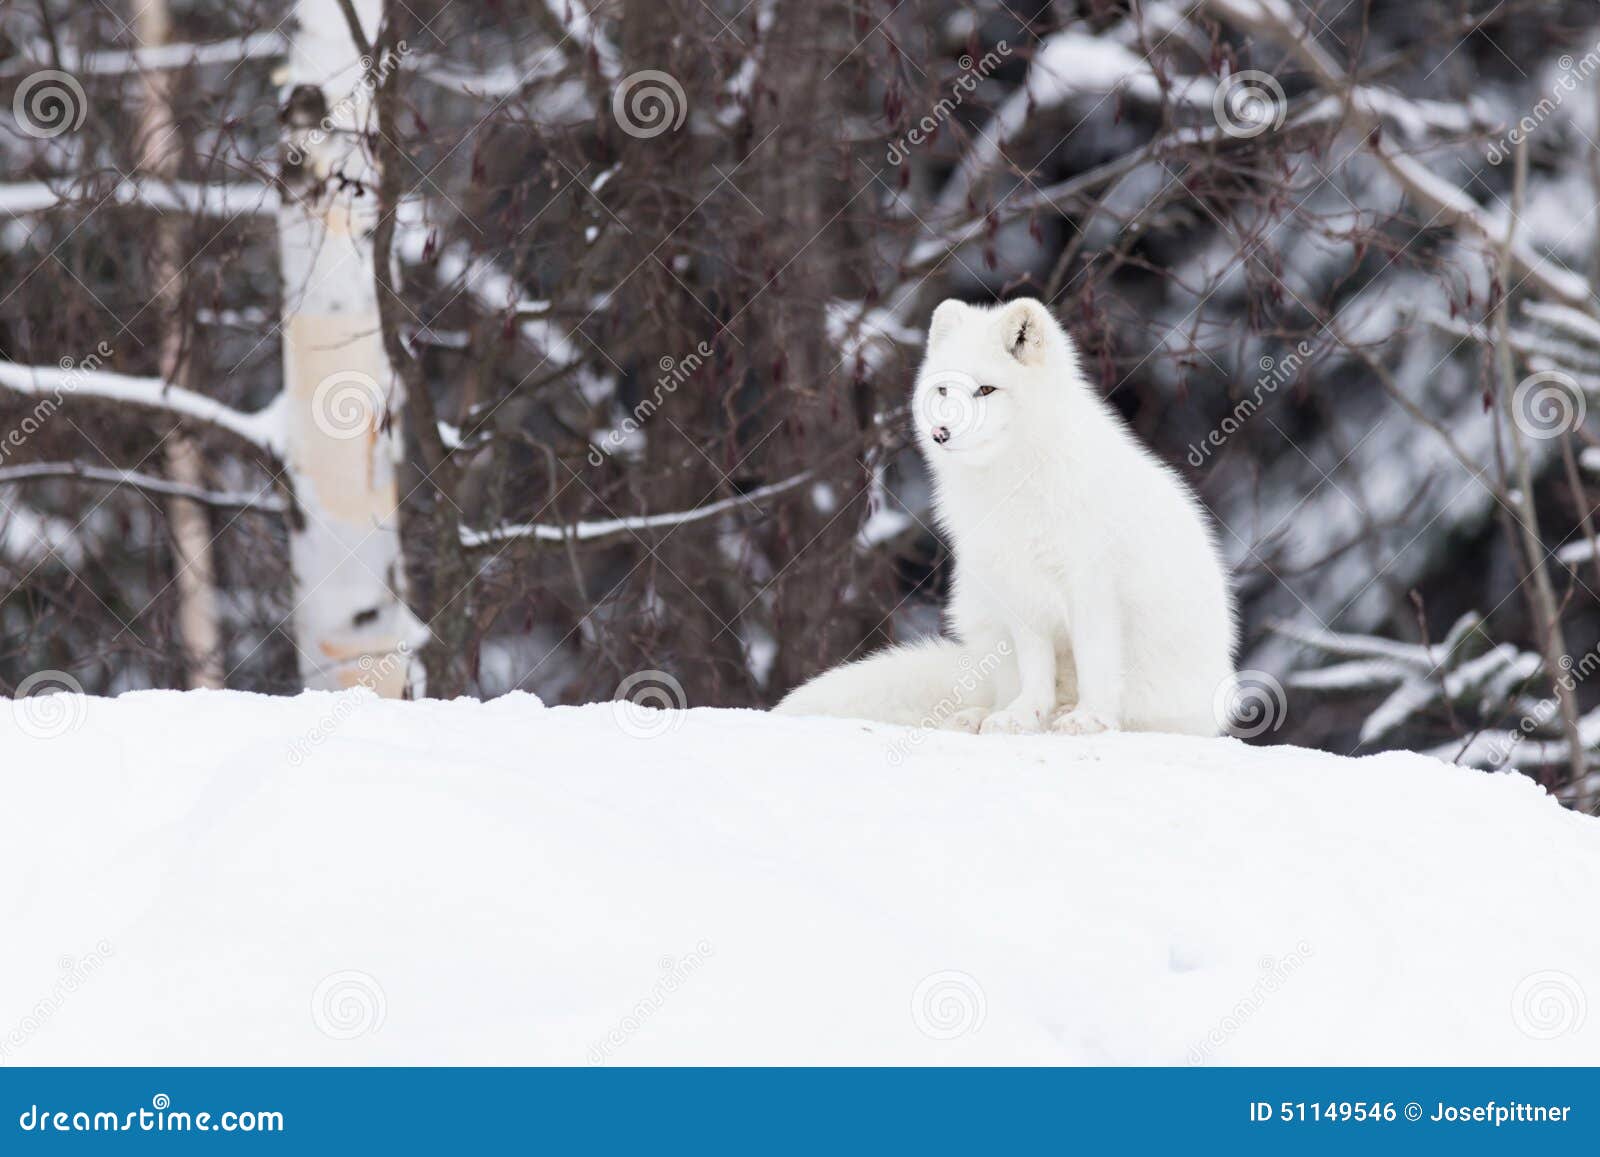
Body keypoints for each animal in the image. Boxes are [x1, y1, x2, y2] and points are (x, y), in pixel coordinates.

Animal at [776, 297, 1237, 736]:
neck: (1012, 487)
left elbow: (1096, 662)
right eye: (943, 390)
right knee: (1001, 692)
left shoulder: (1091, 586)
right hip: (979, 610)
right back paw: (981, 716)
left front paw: (1090, 718)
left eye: (985, 389)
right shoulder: (1017, 585)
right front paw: (1022, 716)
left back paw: (1068, 713)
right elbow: (1035, 673)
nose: (941, 433)